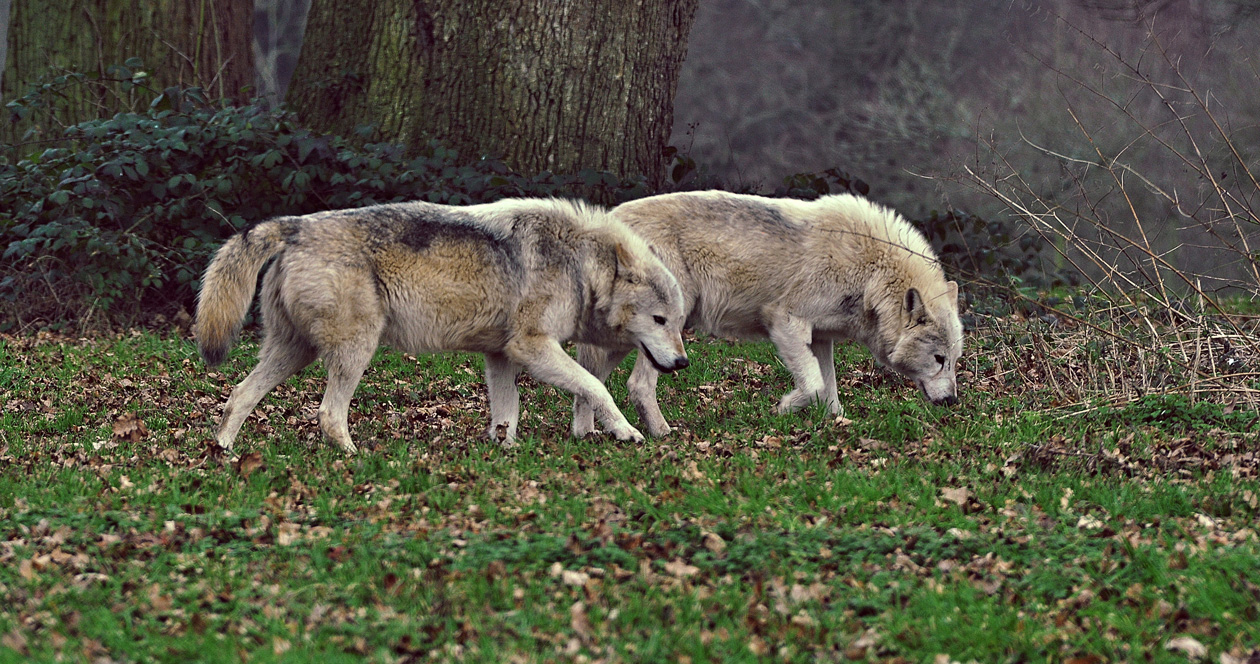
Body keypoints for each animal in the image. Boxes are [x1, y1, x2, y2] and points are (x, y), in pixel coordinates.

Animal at [194, 197, 689, 454]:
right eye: (659, 320)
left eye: (678, 322)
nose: (683, 362)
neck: (580, 265)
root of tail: (294, 226)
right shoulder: (532, 347)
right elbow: (596, 386)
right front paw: (625, 431)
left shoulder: (500, 356)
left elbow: (507, 414)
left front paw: (504, 452)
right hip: (355, 351)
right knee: (328, 414)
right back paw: (354, 459)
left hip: (294, 353)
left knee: (238, 395)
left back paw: (223, 453)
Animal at [573, 191, 963, 438]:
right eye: (938, 359)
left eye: (955, 360)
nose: (953, 402)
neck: (872, 273)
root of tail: (608, 221)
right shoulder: (785, 322)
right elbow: (813, 386)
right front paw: (783, 408)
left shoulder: (820, 338)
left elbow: (830, 393)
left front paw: (835, 425)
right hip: (665, 333)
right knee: (637, 385)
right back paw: (662, 433)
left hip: (625, 340)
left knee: (590, 380)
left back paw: (586, 435)